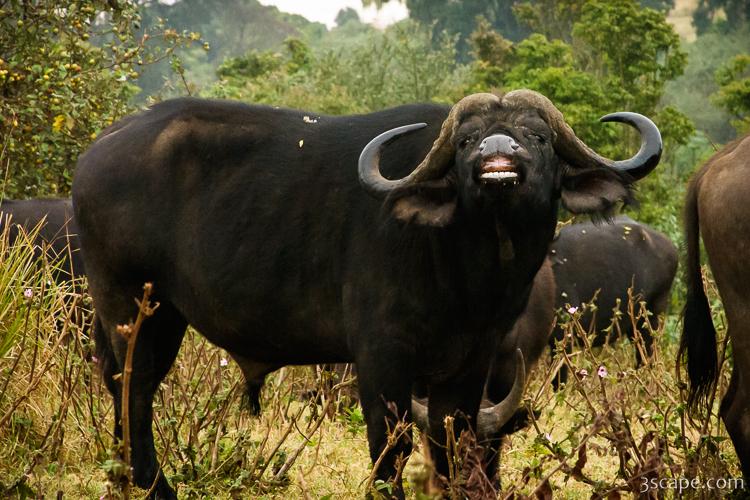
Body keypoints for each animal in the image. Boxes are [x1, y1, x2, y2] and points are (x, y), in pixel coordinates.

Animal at [72, 90, 660, 497]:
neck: (469, 271)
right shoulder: (381, 359)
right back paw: (151, 485)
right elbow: (390, 449)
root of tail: (96, 152)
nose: (498, 152)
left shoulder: (472, 365)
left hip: (164, 312)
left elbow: (453, 440)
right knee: (133, 388)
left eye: (538, 136)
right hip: (129, 305)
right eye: (466, 141)